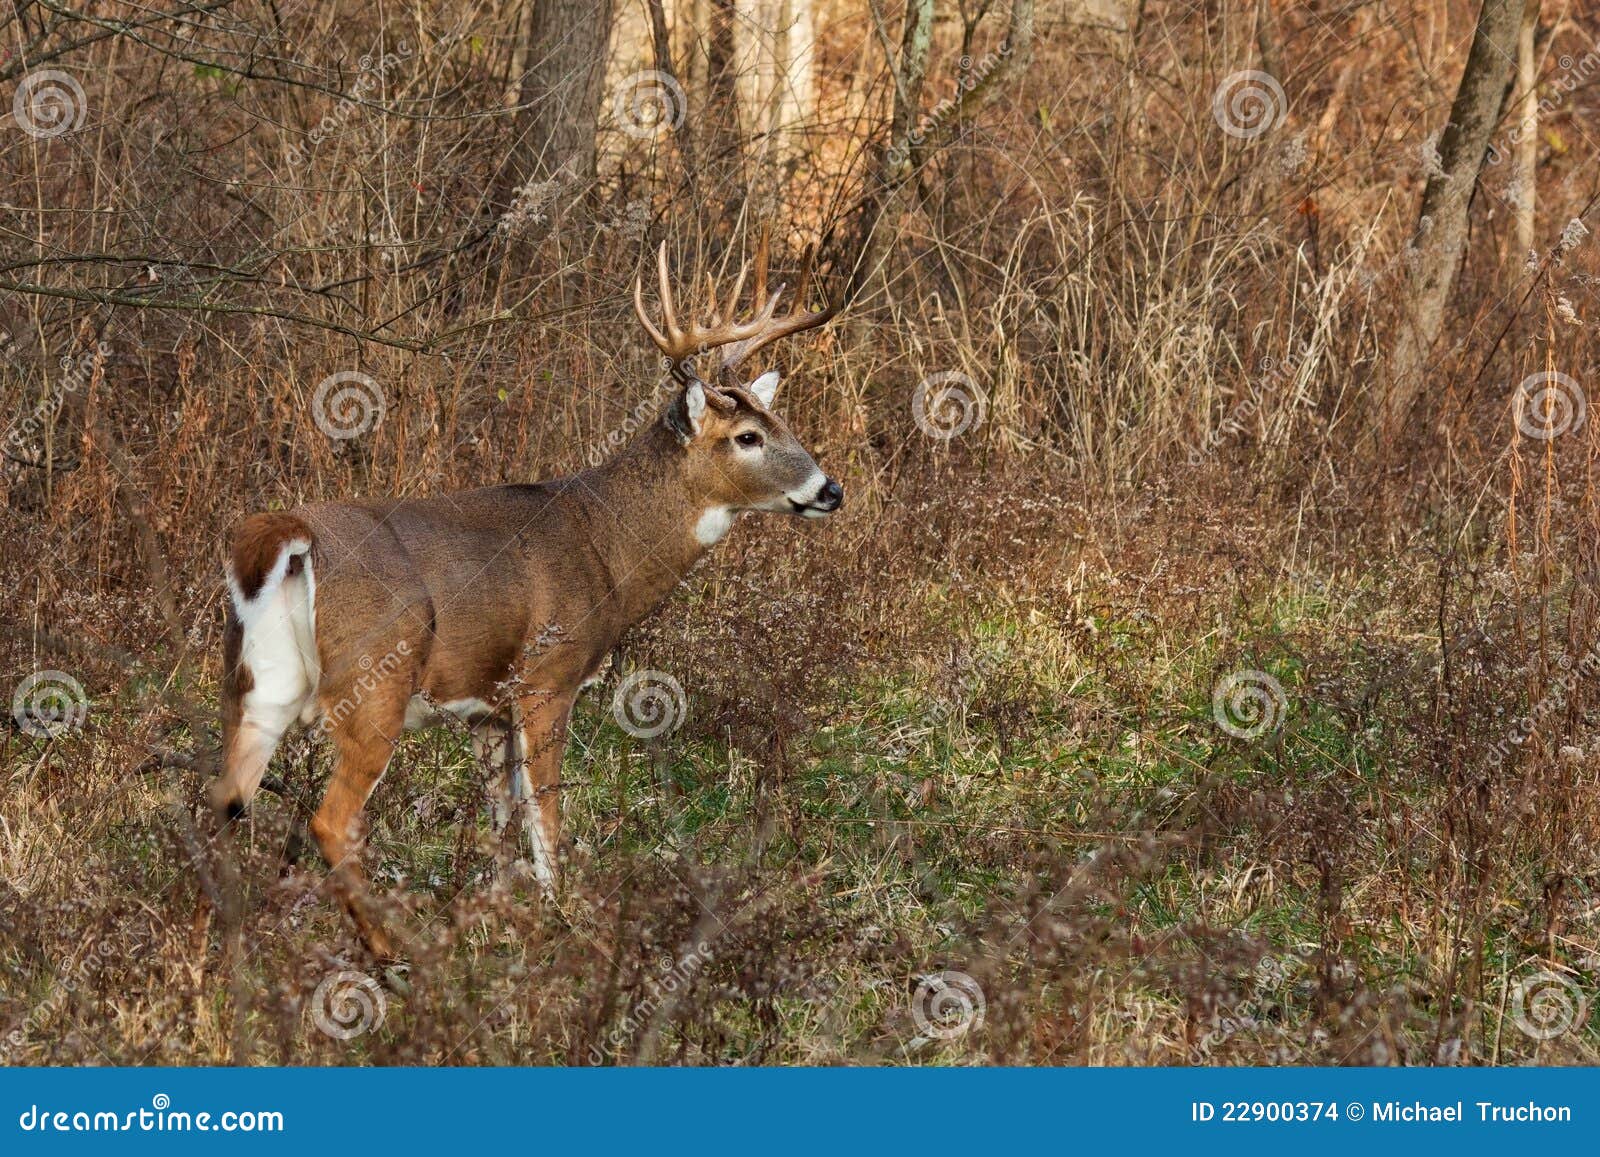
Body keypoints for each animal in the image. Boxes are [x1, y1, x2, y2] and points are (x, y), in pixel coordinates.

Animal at [208, 237, 842, 958]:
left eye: (782, 423)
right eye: (747, 437)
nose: (829, 489)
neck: (605, 545)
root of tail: (288, 534)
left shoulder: (487, 706)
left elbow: (502, 821)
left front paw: (500, 915)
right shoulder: (548, 677)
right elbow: (546, 819)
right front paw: (561, 920)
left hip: (255, 682)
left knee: (224, 797)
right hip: (373, 684)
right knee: (329, 820)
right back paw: (394, 949)